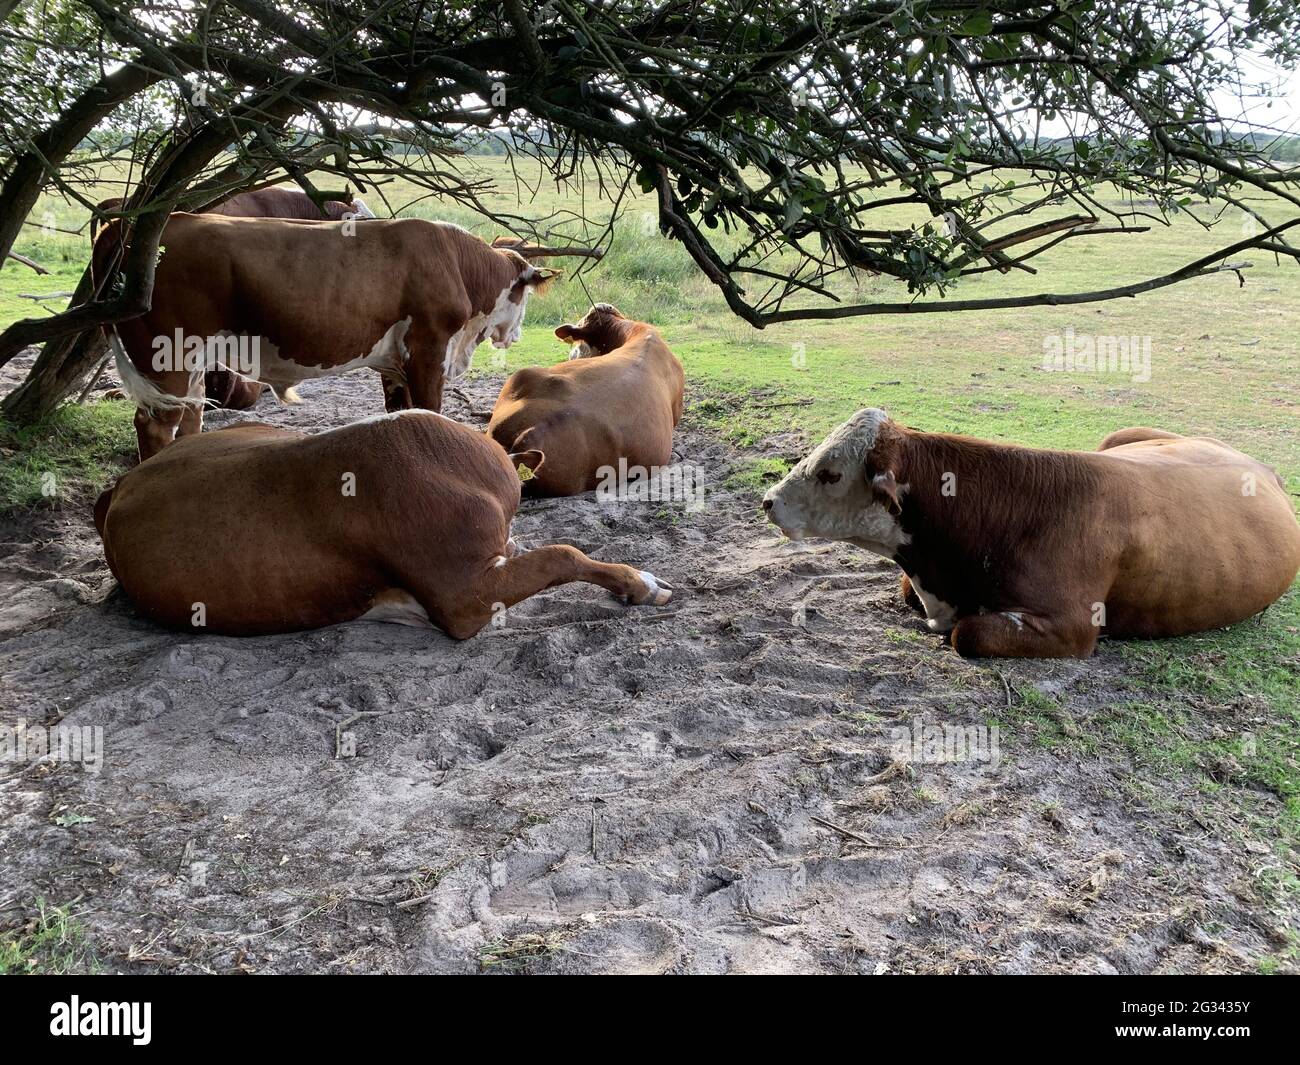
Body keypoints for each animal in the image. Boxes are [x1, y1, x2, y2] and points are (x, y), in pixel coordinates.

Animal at [93, 214, 558, 460]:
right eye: (523, 293)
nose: (514, 335)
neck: (453, 261)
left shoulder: (395, 362)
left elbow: (400, 410)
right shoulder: (429, 350)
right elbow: (430, 410)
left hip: (192, 362)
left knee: (190, 416)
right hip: (166, 355)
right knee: (155, 424)